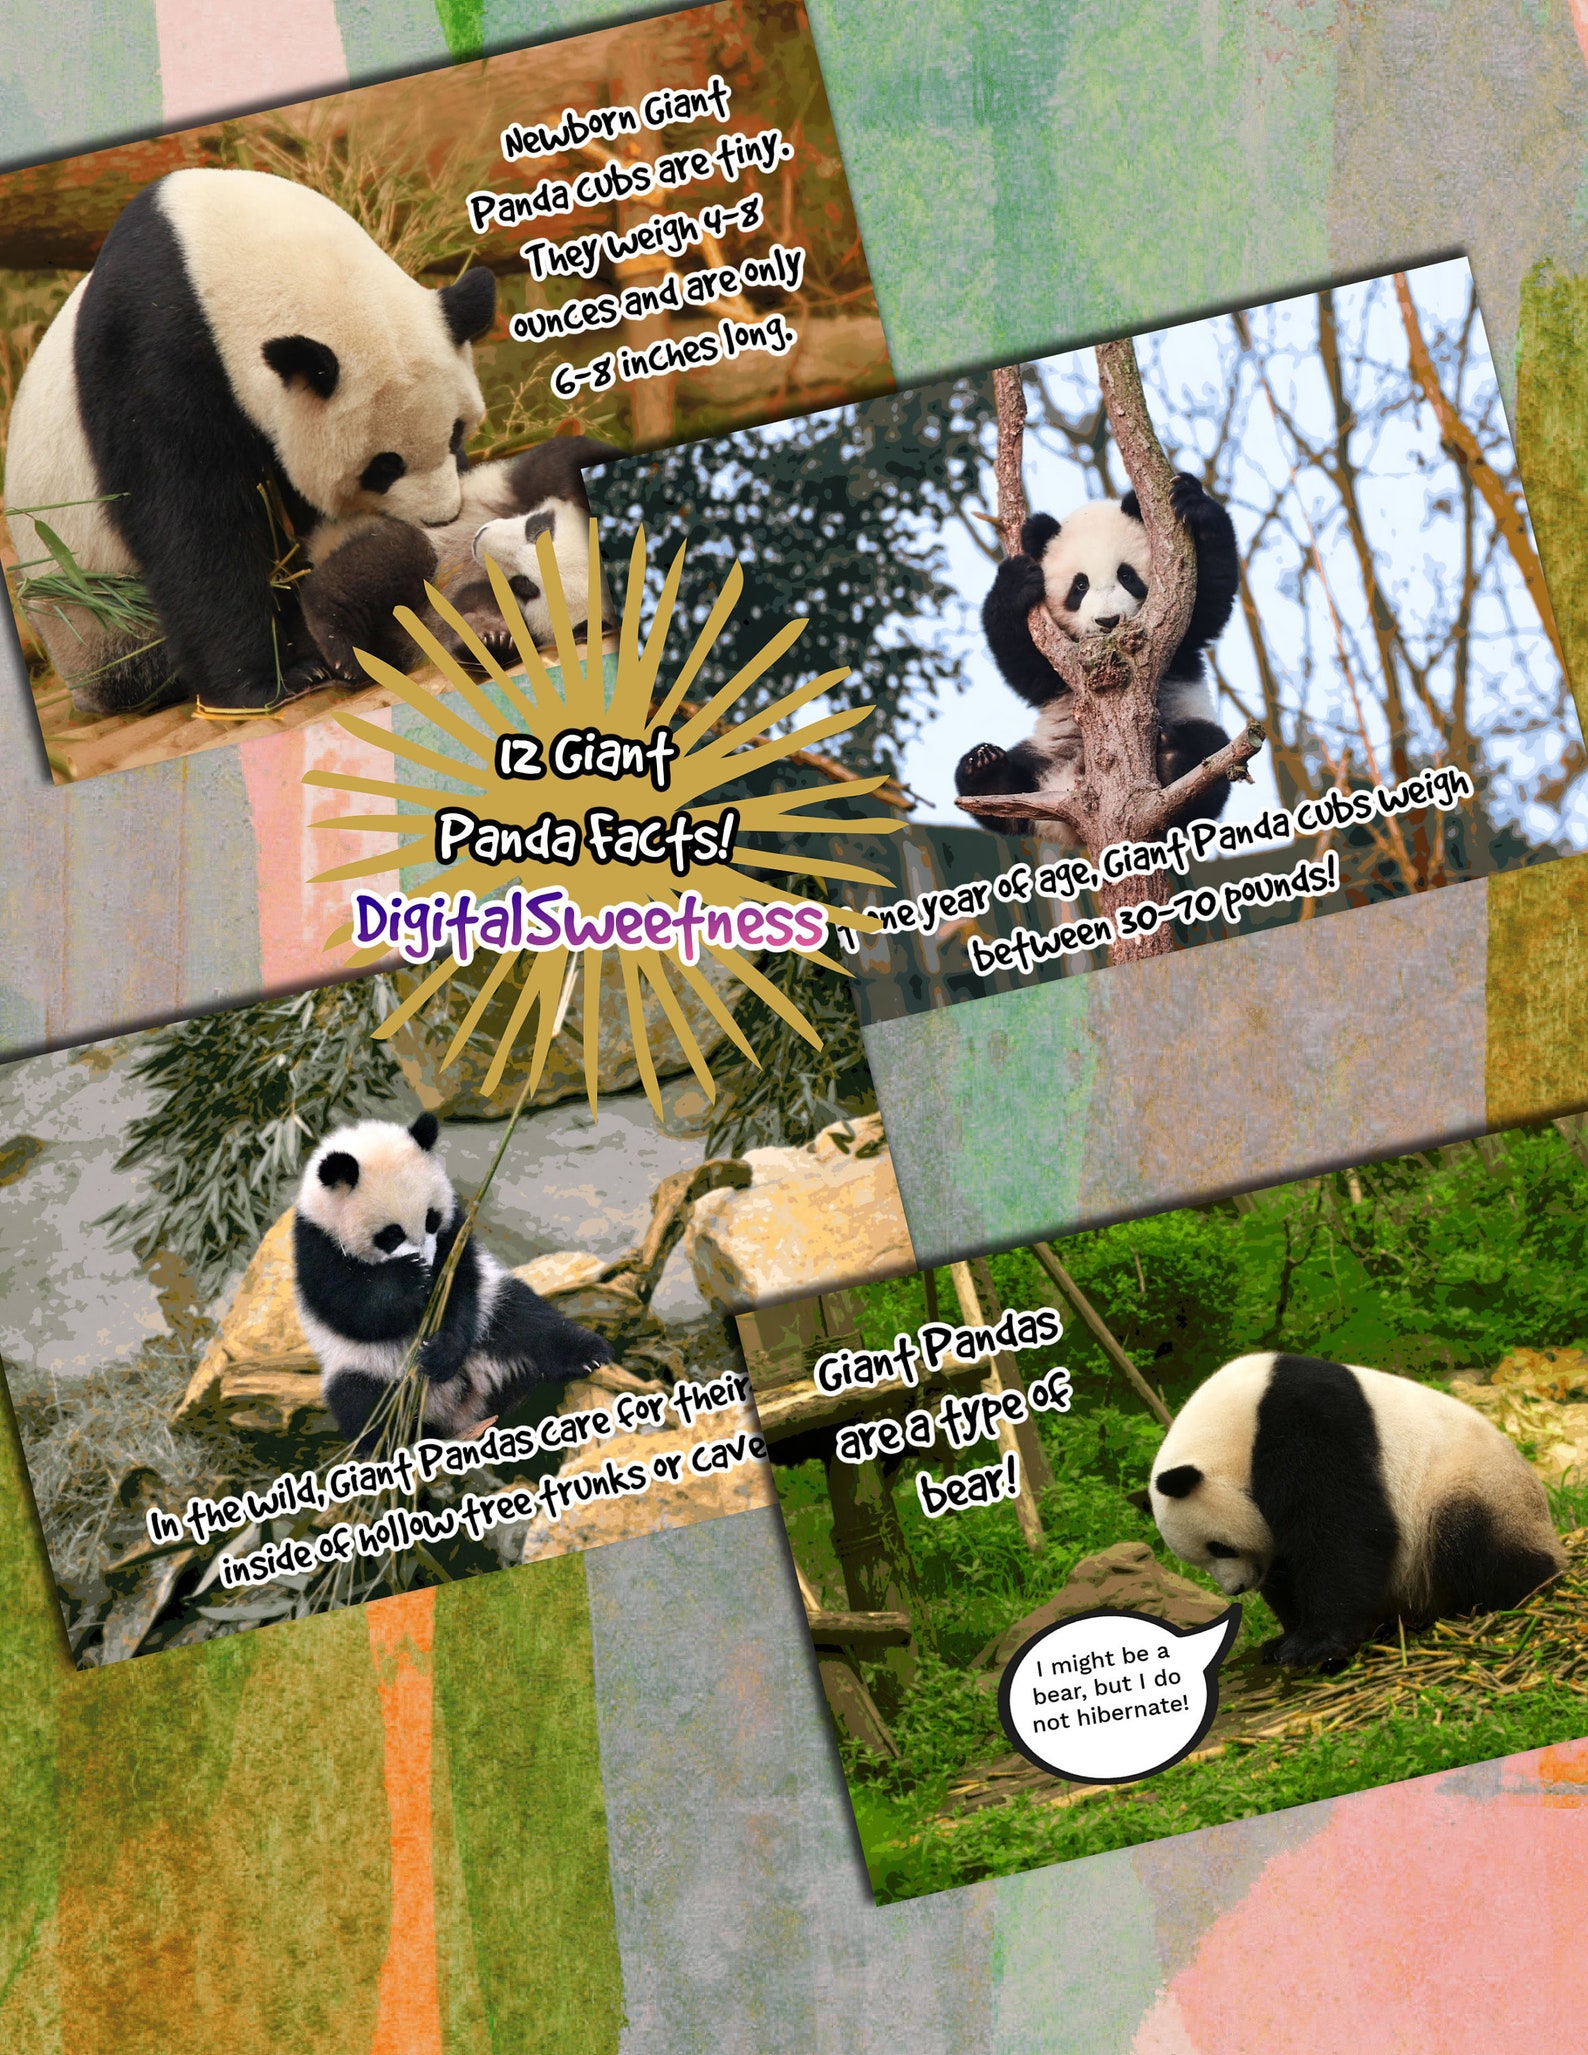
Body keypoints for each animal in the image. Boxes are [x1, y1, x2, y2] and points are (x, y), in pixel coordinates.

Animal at [4, 168, 496, 716]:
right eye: (384, 465)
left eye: (456, 432)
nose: (441, 517)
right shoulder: (151, 352)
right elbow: (191, 522)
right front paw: (269, 682)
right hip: (92, 616)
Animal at [292, 1111, 613, 1450]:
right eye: (392, 1235)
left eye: (431, 1219)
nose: (430, 1265)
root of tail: (464, 1406)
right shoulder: (315, 1248)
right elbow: (353, 1309)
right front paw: (407, 1276)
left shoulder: (455, 1231)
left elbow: (461, 1282)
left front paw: (440, 1349)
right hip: (366, 1368)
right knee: (363, 1405)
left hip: (492, 1319)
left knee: (534, 1325)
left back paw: (586, 1356)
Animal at [298, 435, 620, 681]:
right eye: (539, 529)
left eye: (526, 585)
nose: (481, 542)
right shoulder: (510, 486)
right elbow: (560, 457)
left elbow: (475, 605)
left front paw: (490, 637)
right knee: (396, 557)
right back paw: (338, 649)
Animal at [958, 474, 1241, 841]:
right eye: (1080, 586)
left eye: (1127, 576)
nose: (1107, 621)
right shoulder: (1057, 671)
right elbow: (1024, 668)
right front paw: (1016, 583)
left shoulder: (1181, 640)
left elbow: (1210, 601)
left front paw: (1193, 503)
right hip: (1045, 751)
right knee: (1004, 787)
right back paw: (985, 769)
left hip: (1193, 723)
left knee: (1208, 756)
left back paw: (1174, 758)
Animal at [1149, 1351, 1564, 1670]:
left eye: (1219, 1547)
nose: (1237, 1588)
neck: (1234, 1423)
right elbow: (1286, 1564)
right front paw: (1283, 1640)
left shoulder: (1303, 1422)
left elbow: (1343, 1531)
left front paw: (1311, 1646)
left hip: (1478, 1488)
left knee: (1473, 1541)